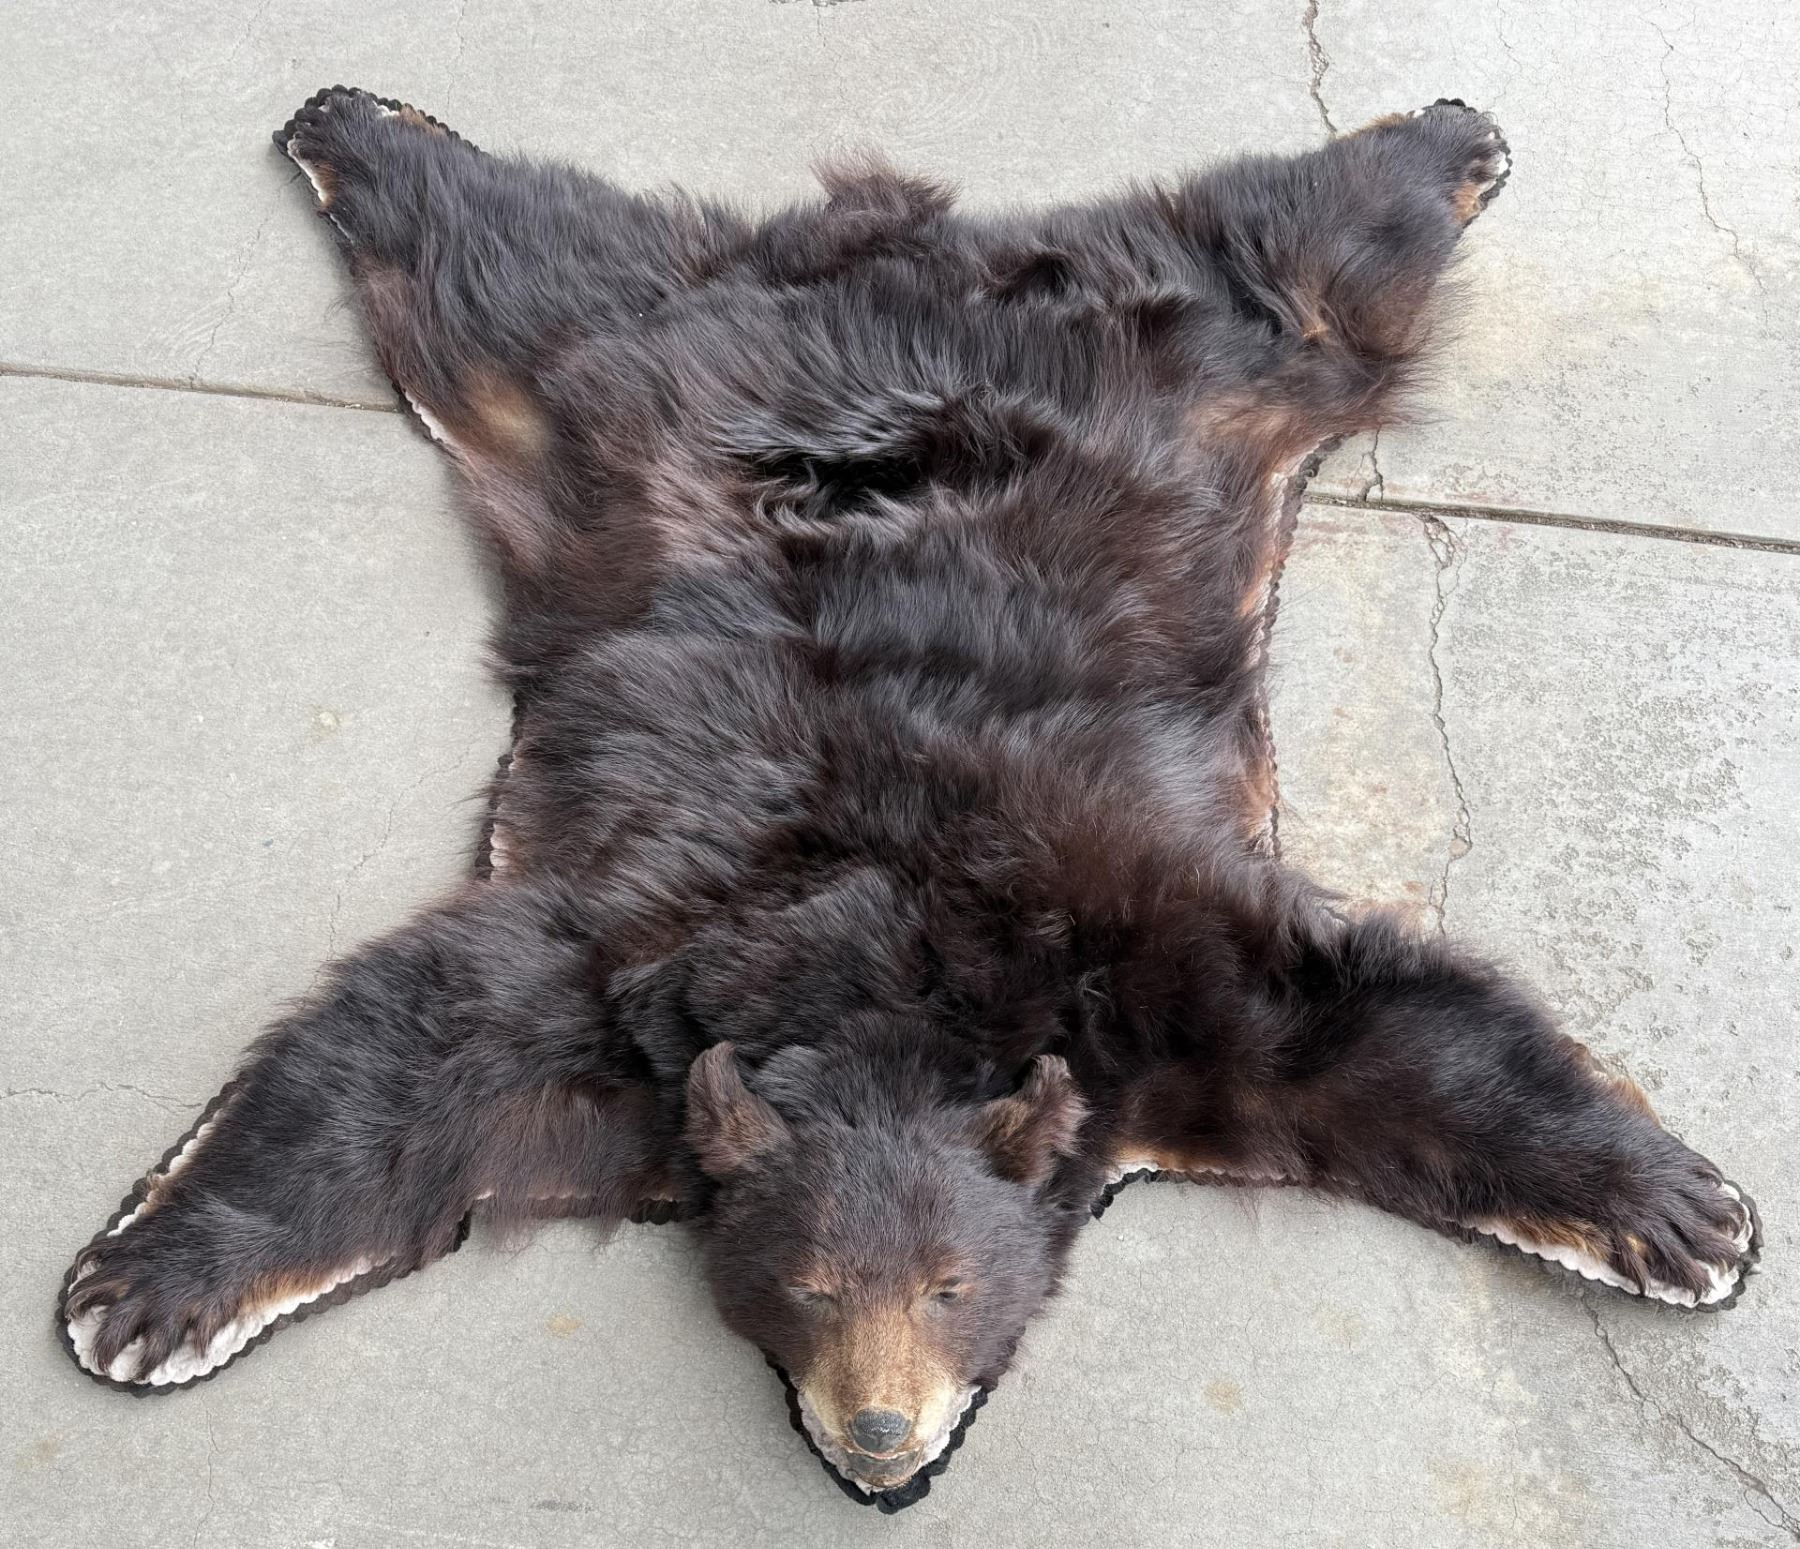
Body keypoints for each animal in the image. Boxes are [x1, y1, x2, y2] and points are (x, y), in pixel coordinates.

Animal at [60, 87, 1757, 1501]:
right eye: (806, 1287)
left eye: (955, 1287)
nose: (882, 1437)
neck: (890, 983)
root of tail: (899, 257)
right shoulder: (633, 970)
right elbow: (420, 1038)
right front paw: (144, 1291)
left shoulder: (1143, 962)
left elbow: (1363, 1019)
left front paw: (1682, 1214)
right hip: (580, 378)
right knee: (490, 262)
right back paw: (352, 124)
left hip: (1221, 359)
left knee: (1312, 246)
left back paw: (1458, 138)